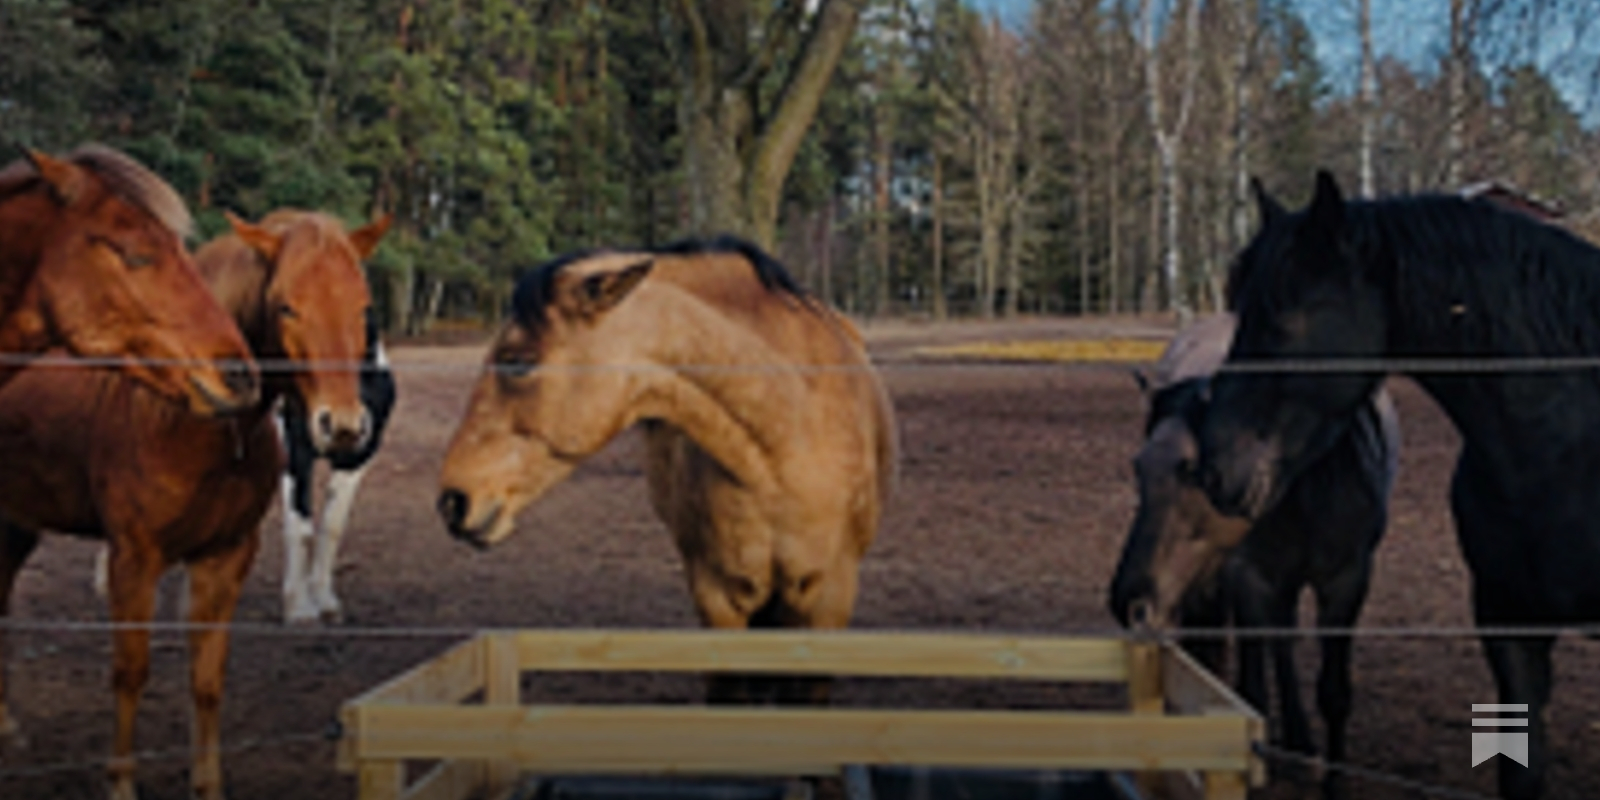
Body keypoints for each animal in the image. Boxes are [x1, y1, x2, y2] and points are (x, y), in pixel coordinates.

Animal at [0, 208, 388, 800]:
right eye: (286, 306)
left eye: (363, 309)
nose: (342, 426)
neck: (191, 422)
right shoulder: (134, 560)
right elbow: (131, 673)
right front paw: (120, 785)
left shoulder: (224, 558)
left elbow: (207, 679)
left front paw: (208, 786)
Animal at [1108, 312, 1398, 798]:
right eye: (1137, 465)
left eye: (1196, 471)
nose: (1128, 600)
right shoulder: (1248, 575)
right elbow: (1251, 690)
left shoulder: (1348, 580)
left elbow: (1334, 692)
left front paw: (1334, 781)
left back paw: (1300, 745)